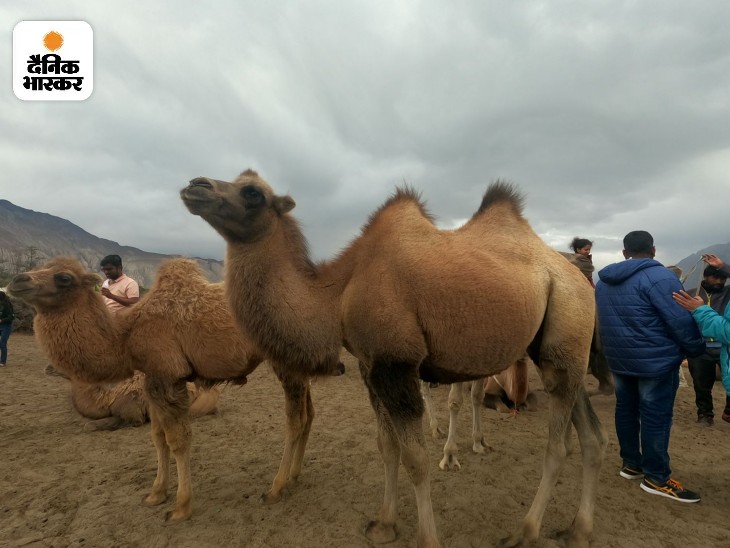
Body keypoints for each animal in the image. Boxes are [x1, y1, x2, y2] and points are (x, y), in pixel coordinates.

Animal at [7, 256, 330, 522]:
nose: (16, 280)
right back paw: (294, 477)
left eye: (63, 277)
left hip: (284, 358)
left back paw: (276, 488)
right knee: (309, 415)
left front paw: (181, 507)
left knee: (295, 420)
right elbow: (158, 437)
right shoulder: (152, 380)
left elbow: (178, 440)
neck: (126, 337)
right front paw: (155, 494)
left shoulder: (170, 376)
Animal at [181, 170, 607, 548]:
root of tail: (578, 277)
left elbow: (416, 458)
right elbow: (387, 448)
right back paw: (578, 531)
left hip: (566, 326)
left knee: (558, 446)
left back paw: (525, 532)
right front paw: (384, 526)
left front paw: (428, 539)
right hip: (557, 353)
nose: (194, 186)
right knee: (592, 436)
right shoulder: (371, 366)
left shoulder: (397, 363)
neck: (339, 292)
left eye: (252, 192)